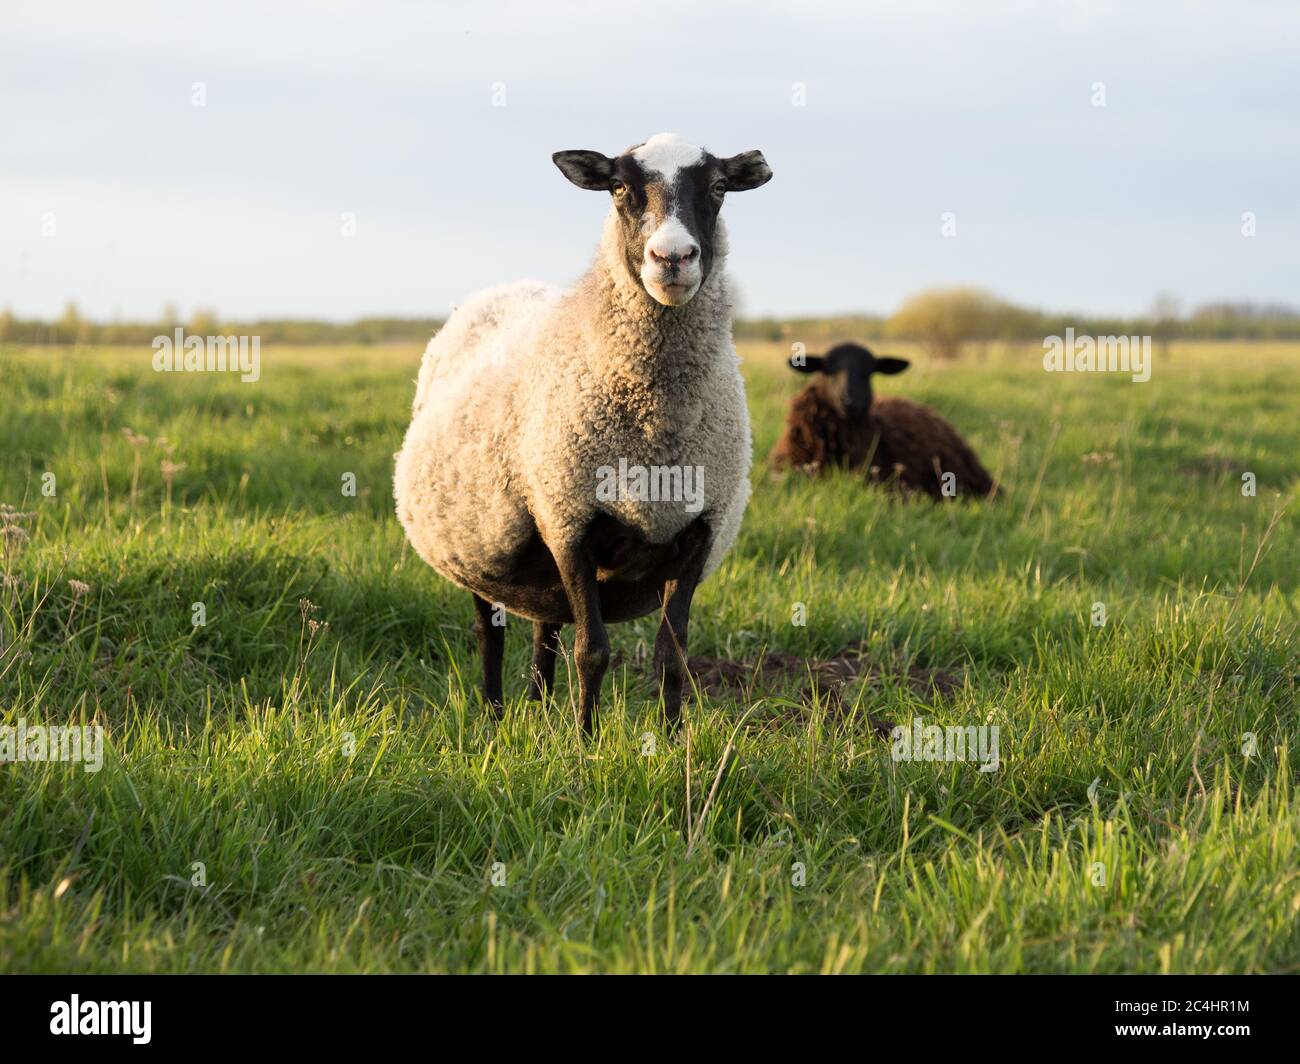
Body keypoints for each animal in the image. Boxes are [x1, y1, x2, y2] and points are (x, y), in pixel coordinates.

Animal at [394, 133, 773, 733]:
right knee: (490, 633)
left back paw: (538, 706)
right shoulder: (568, 518)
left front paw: (673, 740)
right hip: (480, 538)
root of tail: (508, 286)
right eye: (618, 188)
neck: (657, 435)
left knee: (544, 627)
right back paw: (495, 716)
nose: (672, 258)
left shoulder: (700, 526)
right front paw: (585, 741)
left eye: (718, 187)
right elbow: (592, 651)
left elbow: (672, 655)